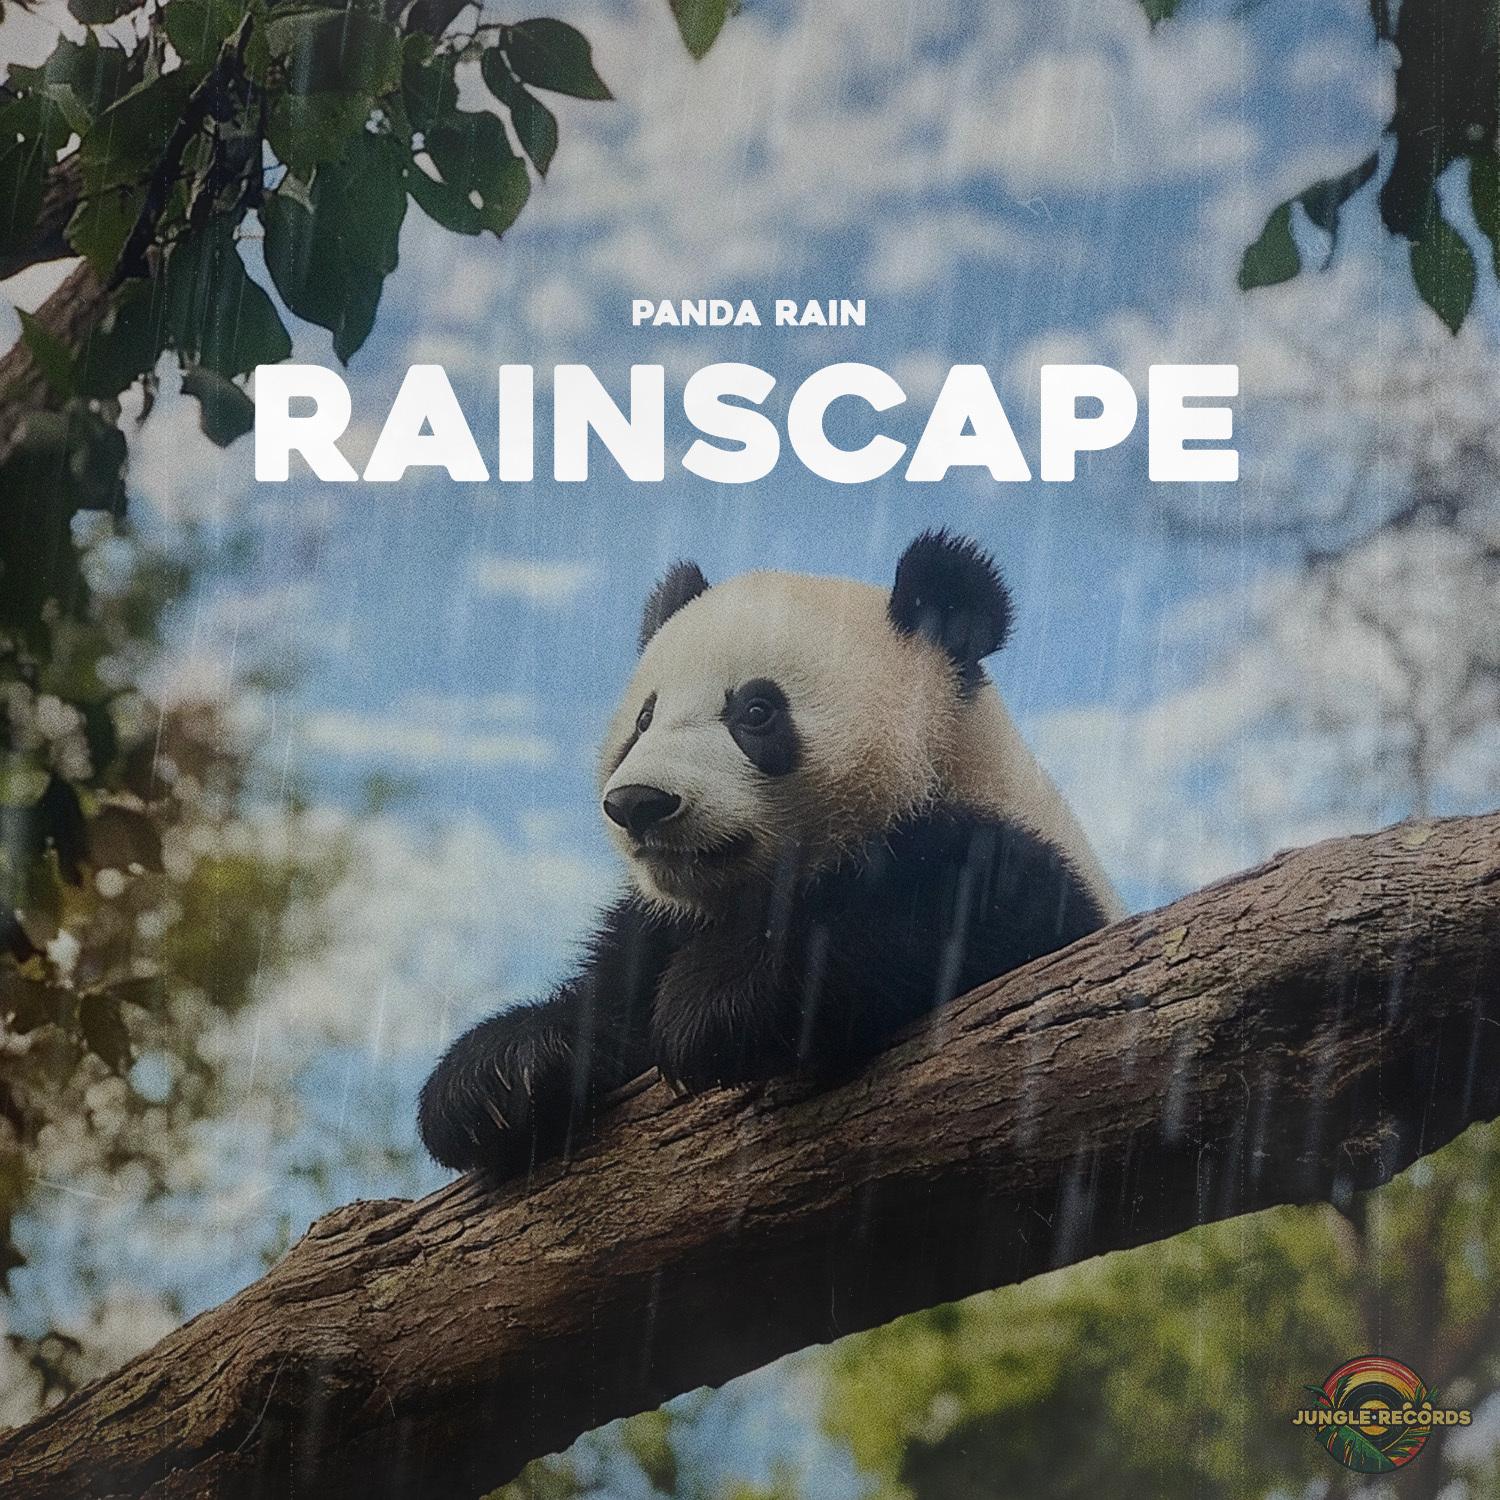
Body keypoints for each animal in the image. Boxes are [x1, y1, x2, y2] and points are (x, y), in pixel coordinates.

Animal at [419, 530, 1121, 1176]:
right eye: (643, 720)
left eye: (756, 711)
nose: (639, 803)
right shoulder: (655, 924)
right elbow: (612, 997)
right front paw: (498, 1078)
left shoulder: (1023, 877)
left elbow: (938, 919)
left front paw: (713, 1004)